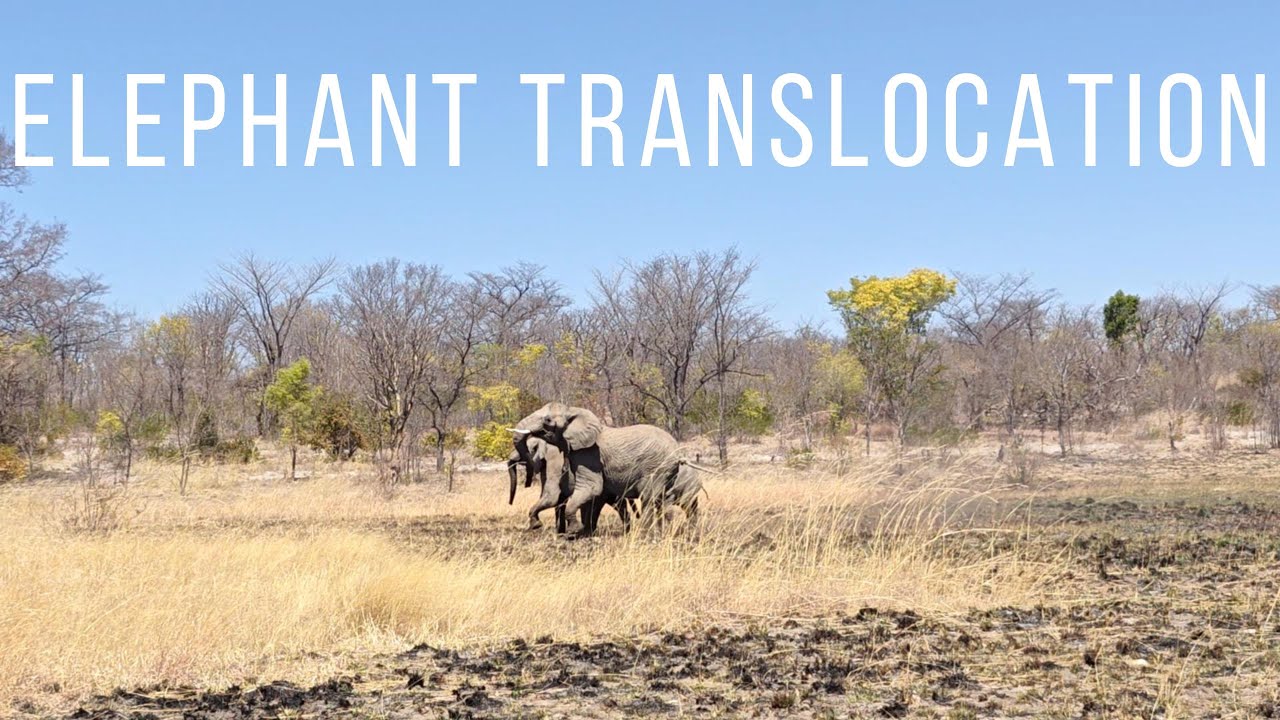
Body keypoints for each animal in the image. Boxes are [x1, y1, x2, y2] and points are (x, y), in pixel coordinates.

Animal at [510, 402, 701, 537]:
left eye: (547, 421)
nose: (528, 463)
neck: (575, 412)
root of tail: (678, 451)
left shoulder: (588, 454)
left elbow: (588, 488)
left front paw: (572, 533)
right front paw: (581, 533)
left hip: (657, 468)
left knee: (649, 498)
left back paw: (644, 534)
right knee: (660, 500)